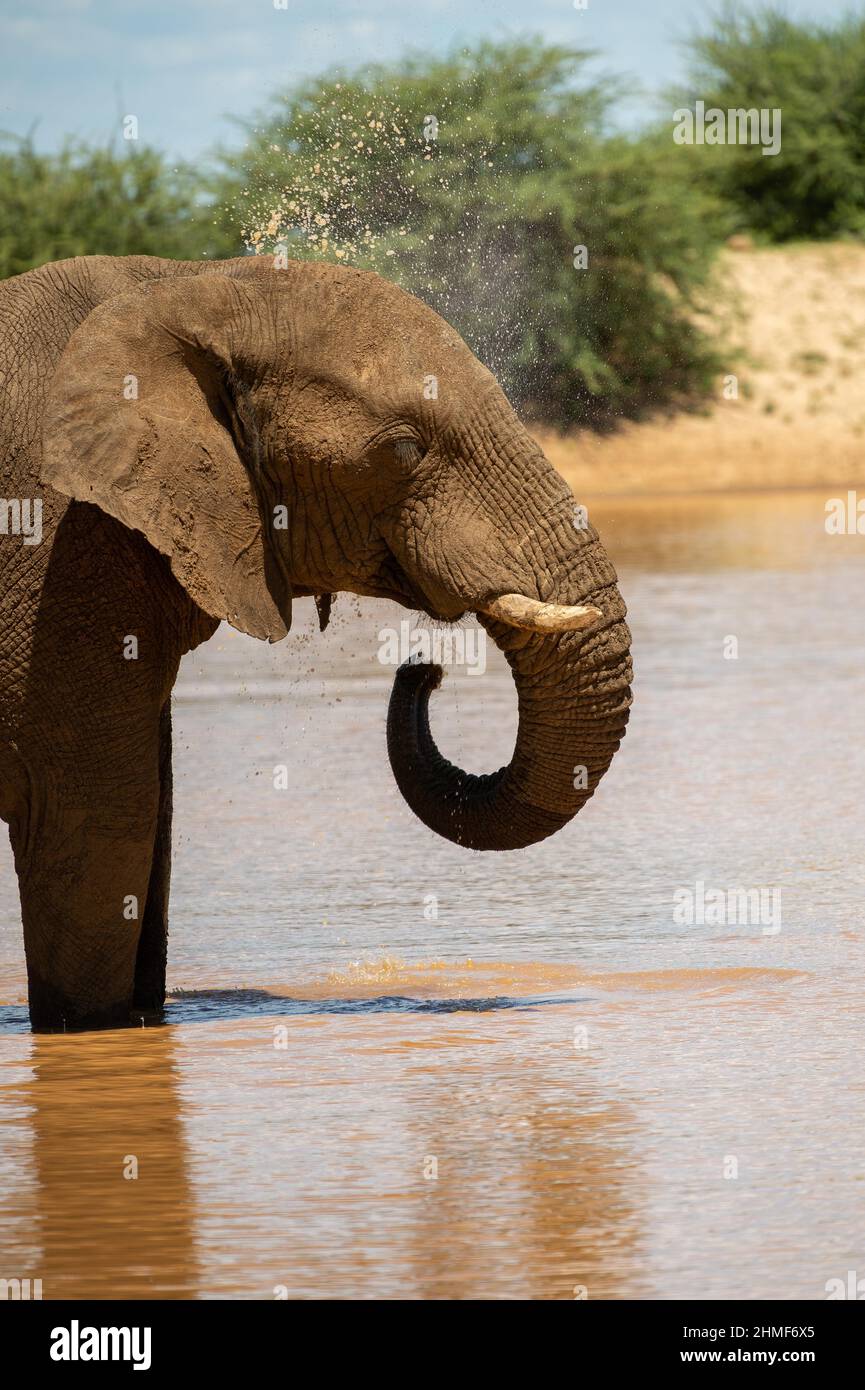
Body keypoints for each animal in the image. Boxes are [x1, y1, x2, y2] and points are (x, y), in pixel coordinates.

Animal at [0, 253, 632, 1031]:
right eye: (403, 450)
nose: (424, 668)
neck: (190, 283)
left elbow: (152, 820)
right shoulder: (56, 550)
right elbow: (96, 817)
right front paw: (92, 1033)